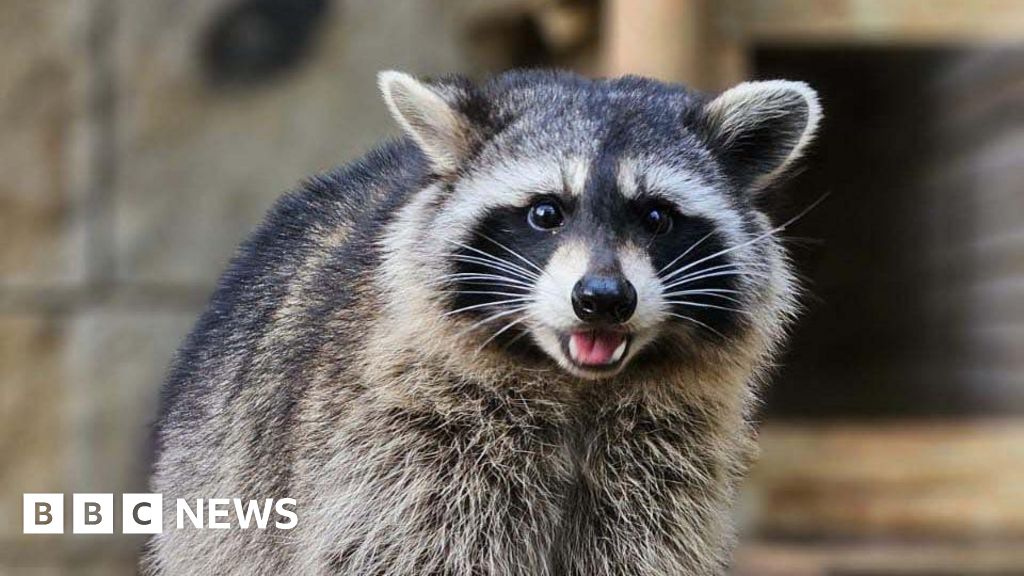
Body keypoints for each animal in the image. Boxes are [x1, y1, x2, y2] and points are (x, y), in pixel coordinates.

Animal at [146, 69, 821, 575]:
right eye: (546, 213)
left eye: (655, 217)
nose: (603, 299)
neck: (576, 387)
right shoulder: (398, 442)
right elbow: (407, 551)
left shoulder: (663, 470)